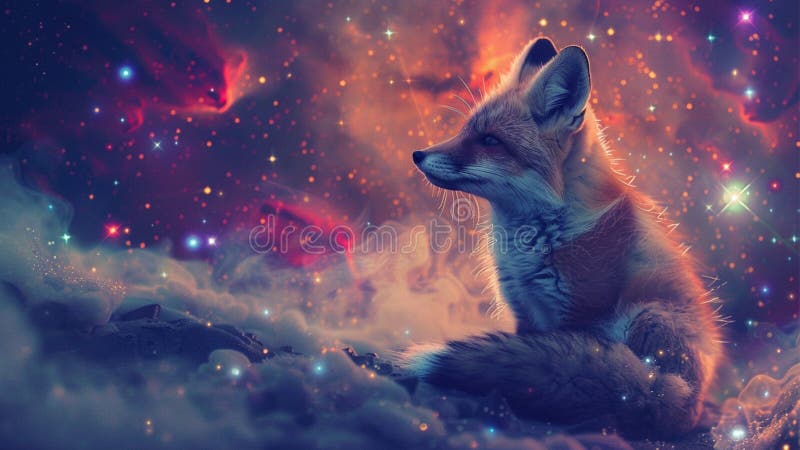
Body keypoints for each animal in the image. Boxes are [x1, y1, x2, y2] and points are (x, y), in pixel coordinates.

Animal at [404, 37, 723, 438]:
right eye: (465, 131)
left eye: (491, 140)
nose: (417, 155)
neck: (534, 236)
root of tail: (689, 399)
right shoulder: (524, 311)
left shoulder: (582, 311)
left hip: (650, 316)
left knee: (640, 401)